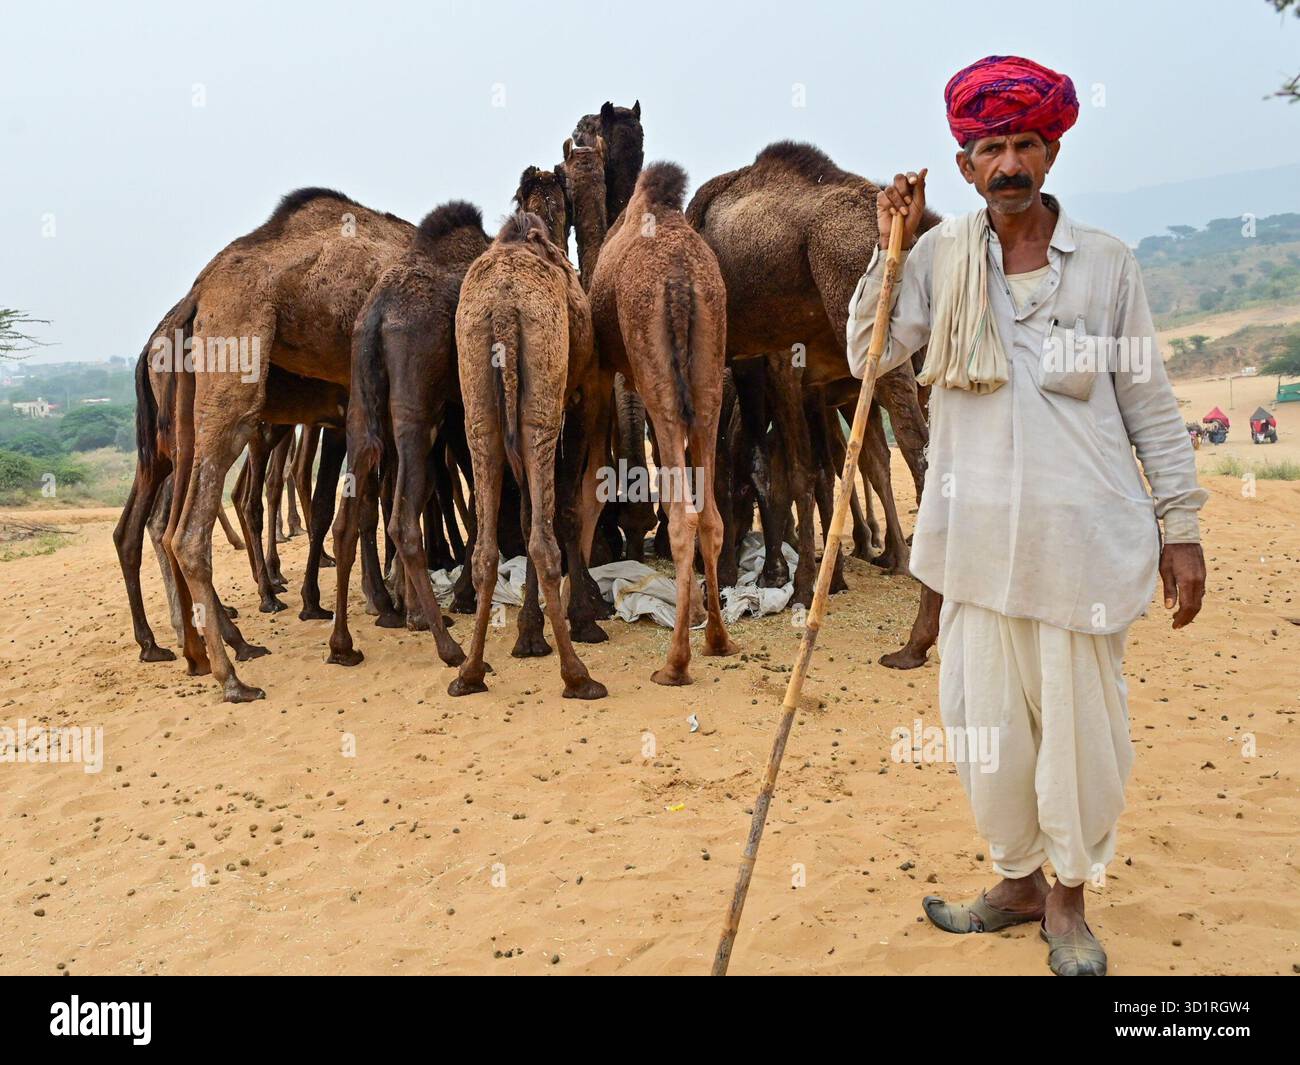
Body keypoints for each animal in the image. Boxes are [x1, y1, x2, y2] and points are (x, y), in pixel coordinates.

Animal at [450, 211, 607, 700]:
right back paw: (578, 676)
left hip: (479, 403)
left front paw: (529, 634)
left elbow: (522, 514)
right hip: (542, 398)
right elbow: (568, 510)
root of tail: (503, 306)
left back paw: (469, 673)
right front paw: (583, 621)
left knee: (488, 549)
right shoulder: (583, 393)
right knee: (543, 538)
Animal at [587, 161, 738, 685]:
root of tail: (680, 278)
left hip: (658, 371)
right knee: (709, 514)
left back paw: (675, 663)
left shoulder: (610, 366)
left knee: (681, 515)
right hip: (710, 366)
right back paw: (718, 639)